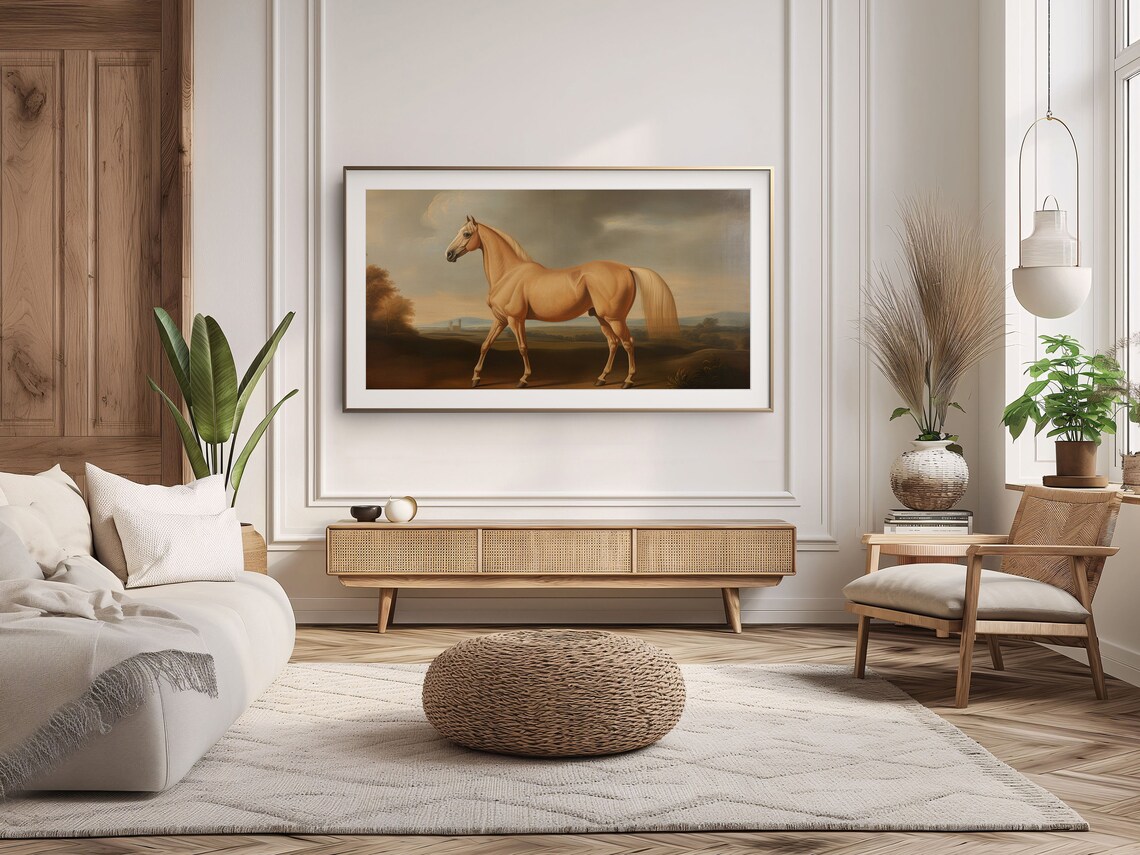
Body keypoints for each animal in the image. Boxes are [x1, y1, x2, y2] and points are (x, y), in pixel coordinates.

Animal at [445, 215, 680, 388]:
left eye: (466, 233)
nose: (448, 254)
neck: (509, 274)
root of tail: (627, 268)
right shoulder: (501, 320)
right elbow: (485, 345)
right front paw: (475, 378)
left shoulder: (515, 319)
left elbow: (522, 347)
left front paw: (524, 379)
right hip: (602, 318)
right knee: (613, 343)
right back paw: (601, 378)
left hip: (615, 319)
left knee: (628, 343)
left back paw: (628, 381)